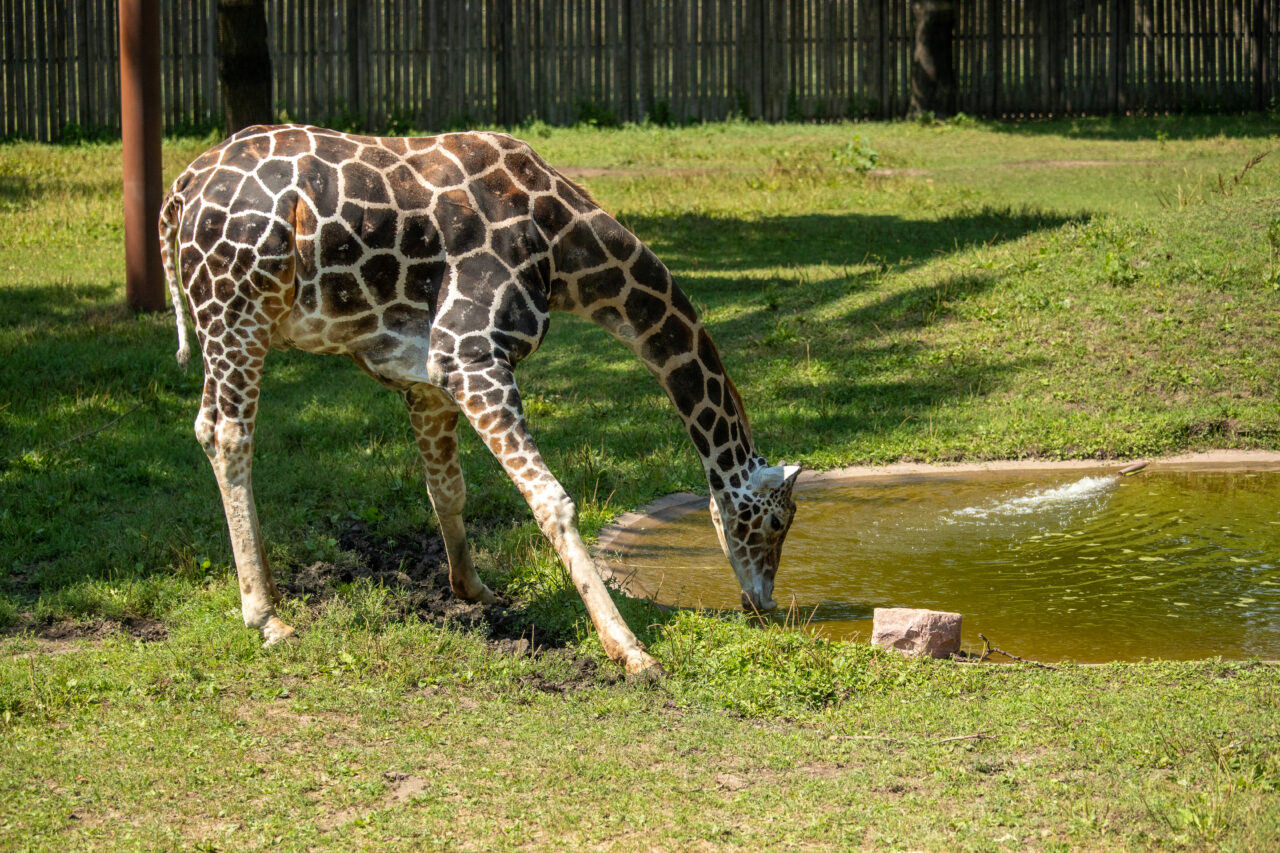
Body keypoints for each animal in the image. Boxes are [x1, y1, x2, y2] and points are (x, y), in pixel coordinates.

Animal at [159, 124, 801, 675]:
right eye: (775, 521)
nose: (764, 601)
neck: (564, 246)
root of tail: (181, 191)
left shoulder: (425, 375)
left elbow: (447, 488)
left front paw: (474, 589)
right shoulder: (472, 355)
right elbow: (552, 501)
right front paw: (630, 650)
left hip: (230, 322)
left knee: (205, 426)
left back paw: (264, 585)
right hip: (238, 308)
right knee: (232, 435)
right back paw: (267, 618)